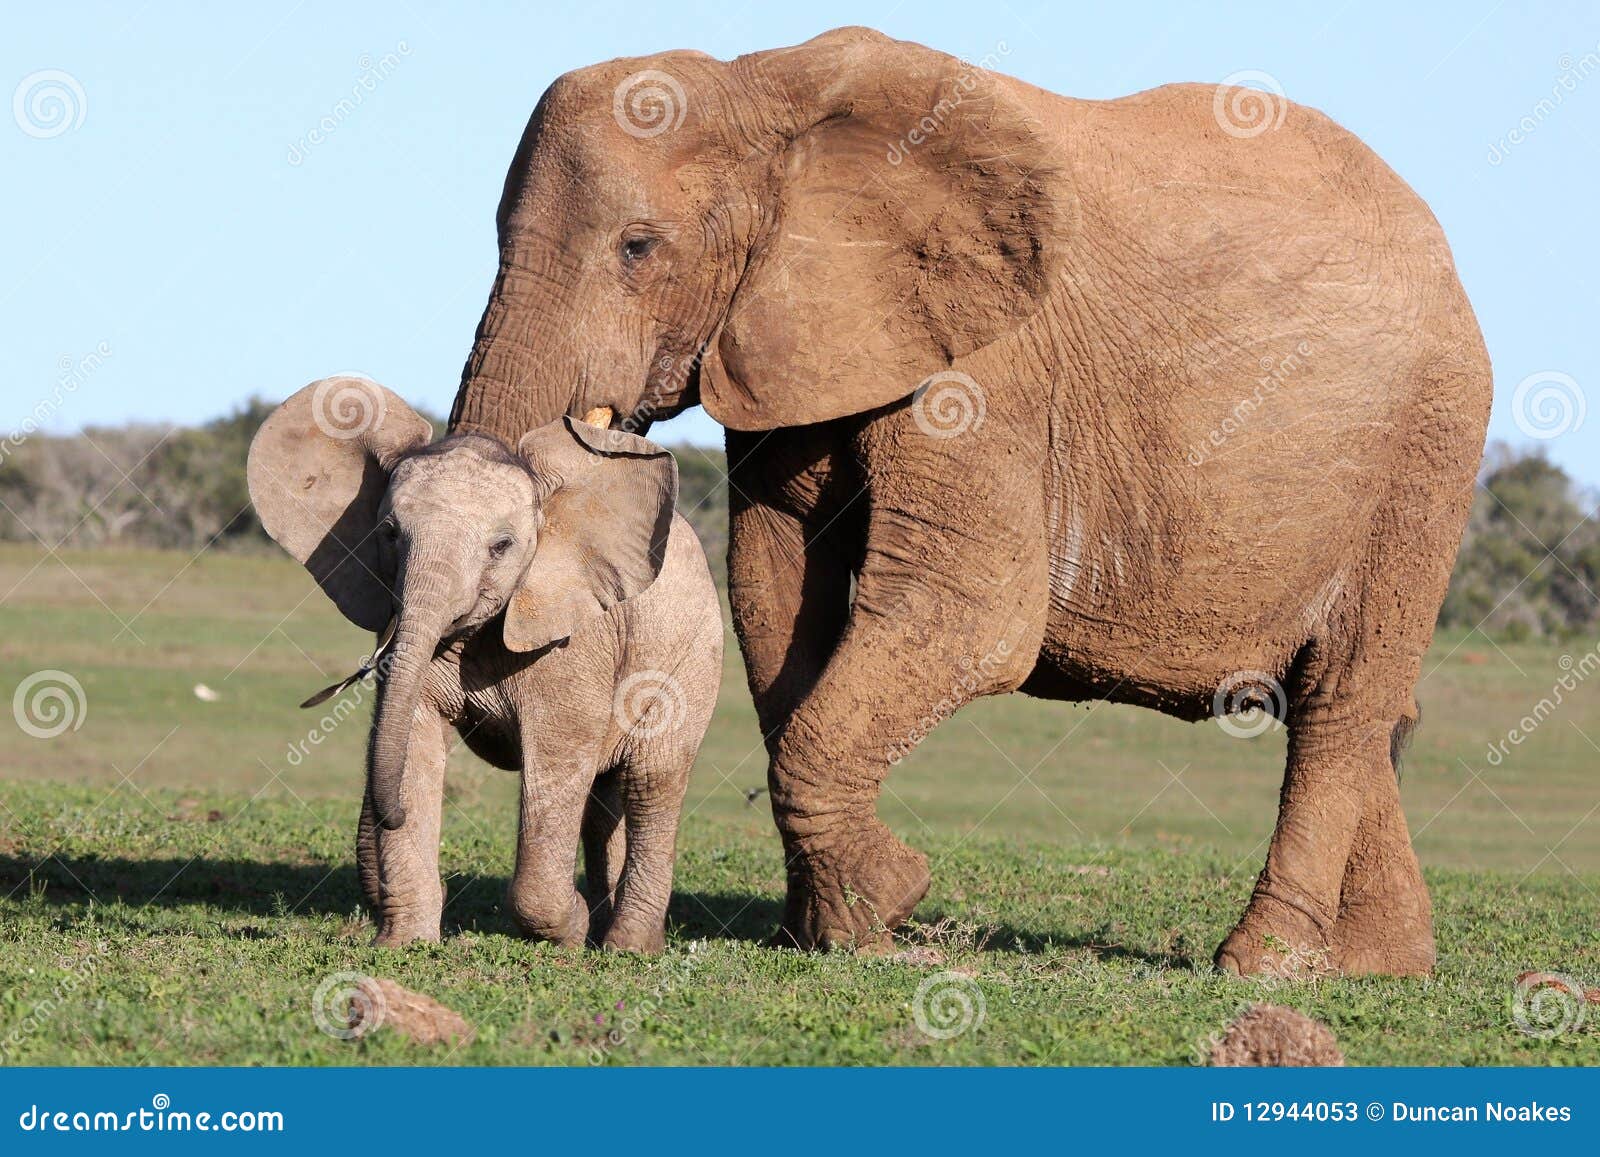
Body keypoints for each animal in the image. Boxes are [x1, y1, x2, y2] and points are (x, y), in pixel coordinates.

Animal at [247, 377, 722, 950]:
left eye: (502, 546)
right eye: (389, 534)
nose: (389, 816)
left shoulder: (573, 642)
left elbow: (560, 759)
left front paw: (567, 931)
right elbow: (414, 740)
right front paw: (406, 945)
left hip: (694, 655)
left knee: (652, 782)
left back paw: (626, 947)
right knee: (605, 795)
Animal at [445, 27, 1492, 976]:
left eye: (638, 246)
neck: (765, 86)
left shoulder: (992, 368)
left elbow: (977, 611)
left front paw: (891, 902)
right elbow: (775, 597)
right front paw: (828, 930)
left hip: (1427, 450)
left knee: (1341, 702)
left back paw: (1262, 965)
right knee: (1339, 701)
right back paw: (1378, 965)